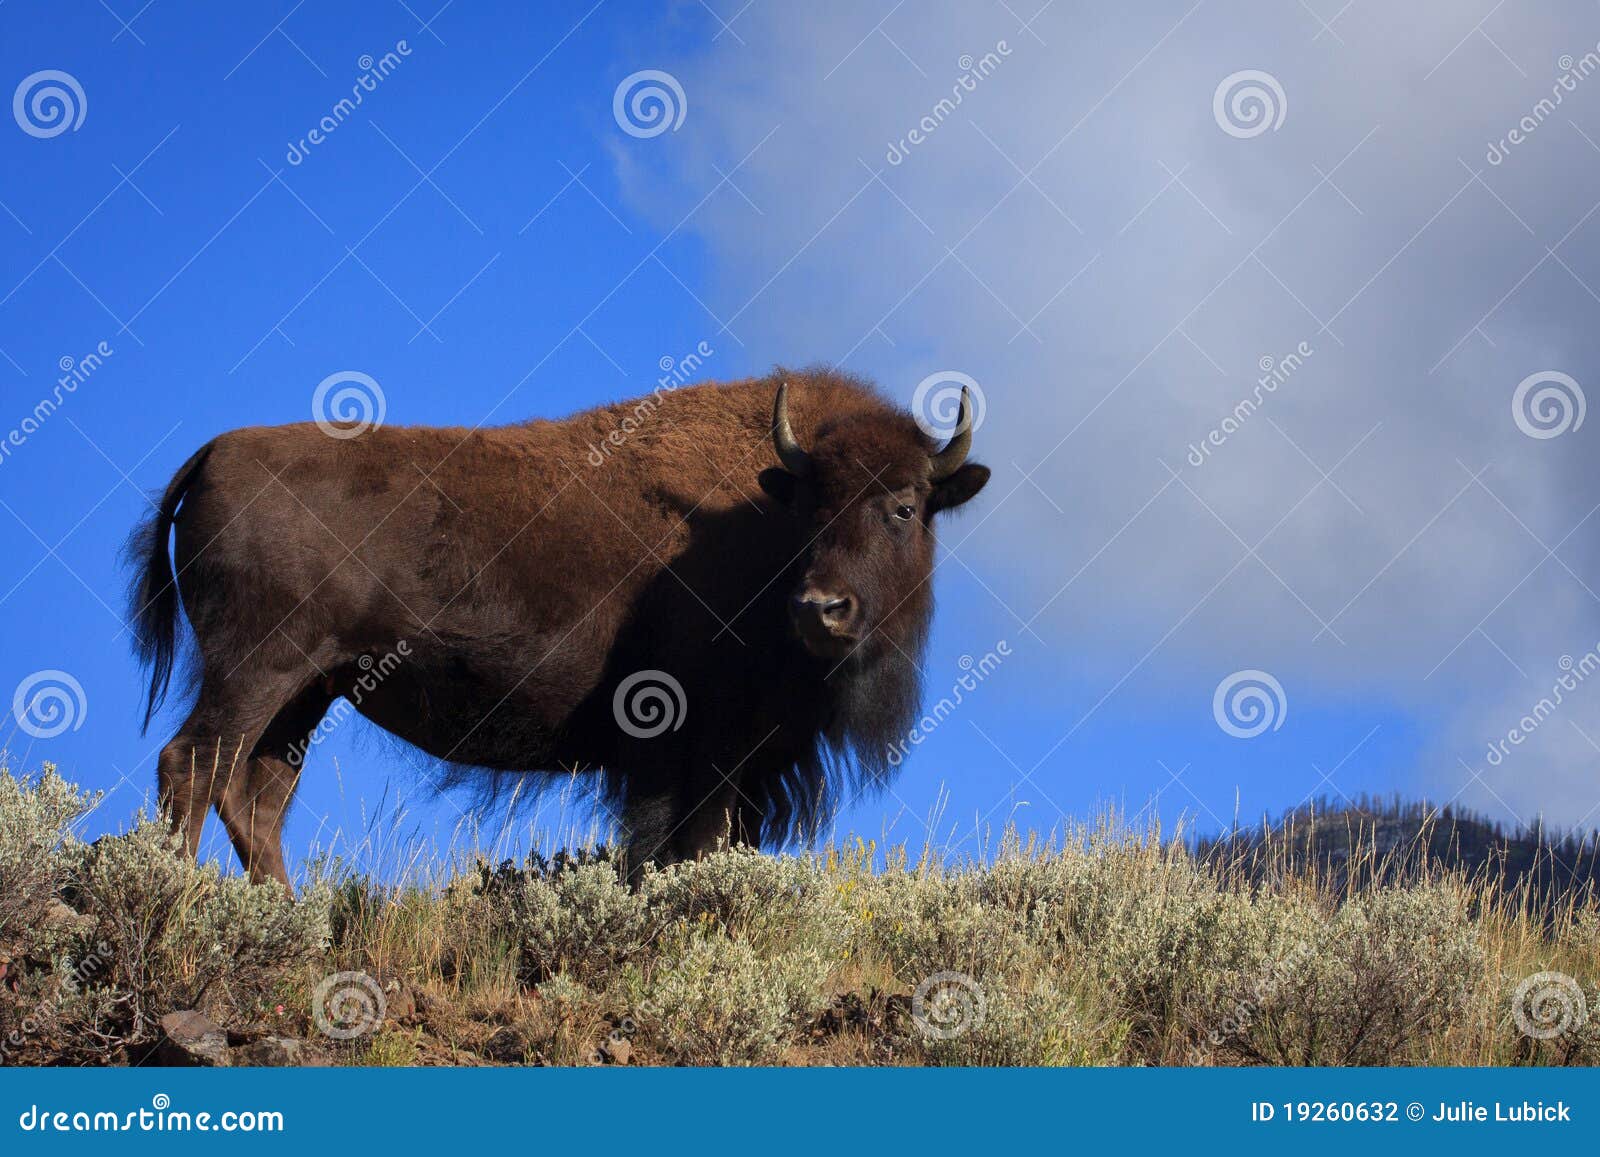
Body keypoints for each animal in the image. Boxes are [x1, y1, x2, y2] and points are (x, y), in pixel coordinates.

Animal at [126, 368, 990, 889]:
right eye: (812, 506)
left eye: (904, 505)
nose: (822, 608)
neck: (758, 514)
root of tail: (216, 452)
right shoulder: (691, 748)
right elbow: (680, 844)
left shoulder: (744, 759)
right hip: (255, 670)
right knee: (192, 765)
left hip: (307, 692)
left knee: (256, 793)